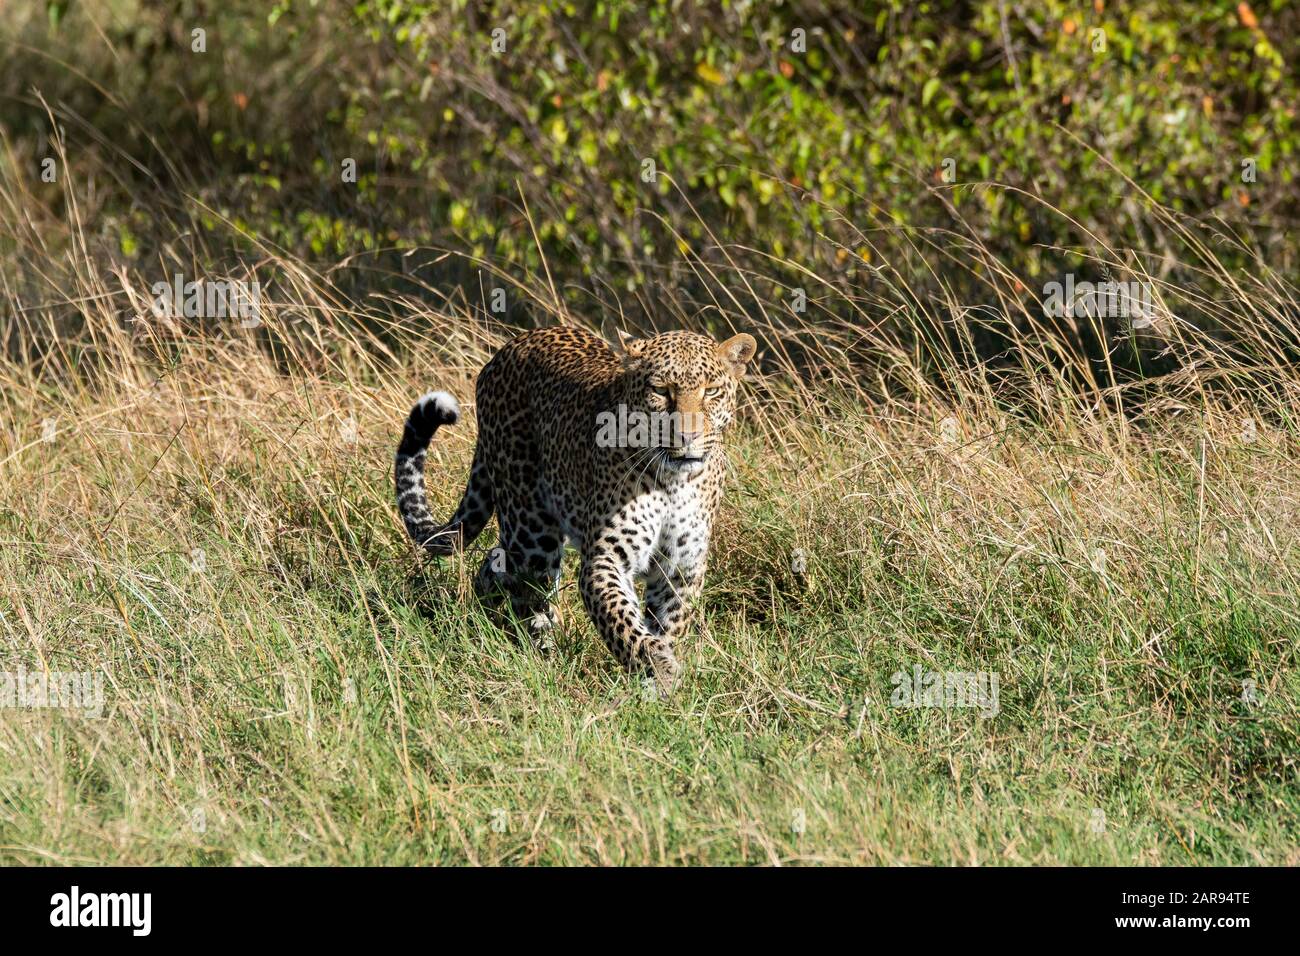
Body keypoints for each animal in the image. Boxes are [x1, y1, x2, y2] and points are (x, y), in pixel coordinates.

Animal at [395, 325, 757, 692]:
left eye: (711, 391)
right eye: (660, 391)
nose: (686, 437)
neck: (674, 483)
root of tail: (508, 348)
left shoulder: (680, 568)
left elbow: (669, 624)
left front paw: (663, 685)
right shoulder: (605, 558)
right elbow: (623, 623)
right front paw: (659, 669)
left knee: (492, 567)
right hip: (531, 532)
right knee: (523, 587)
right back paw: (538, 650)